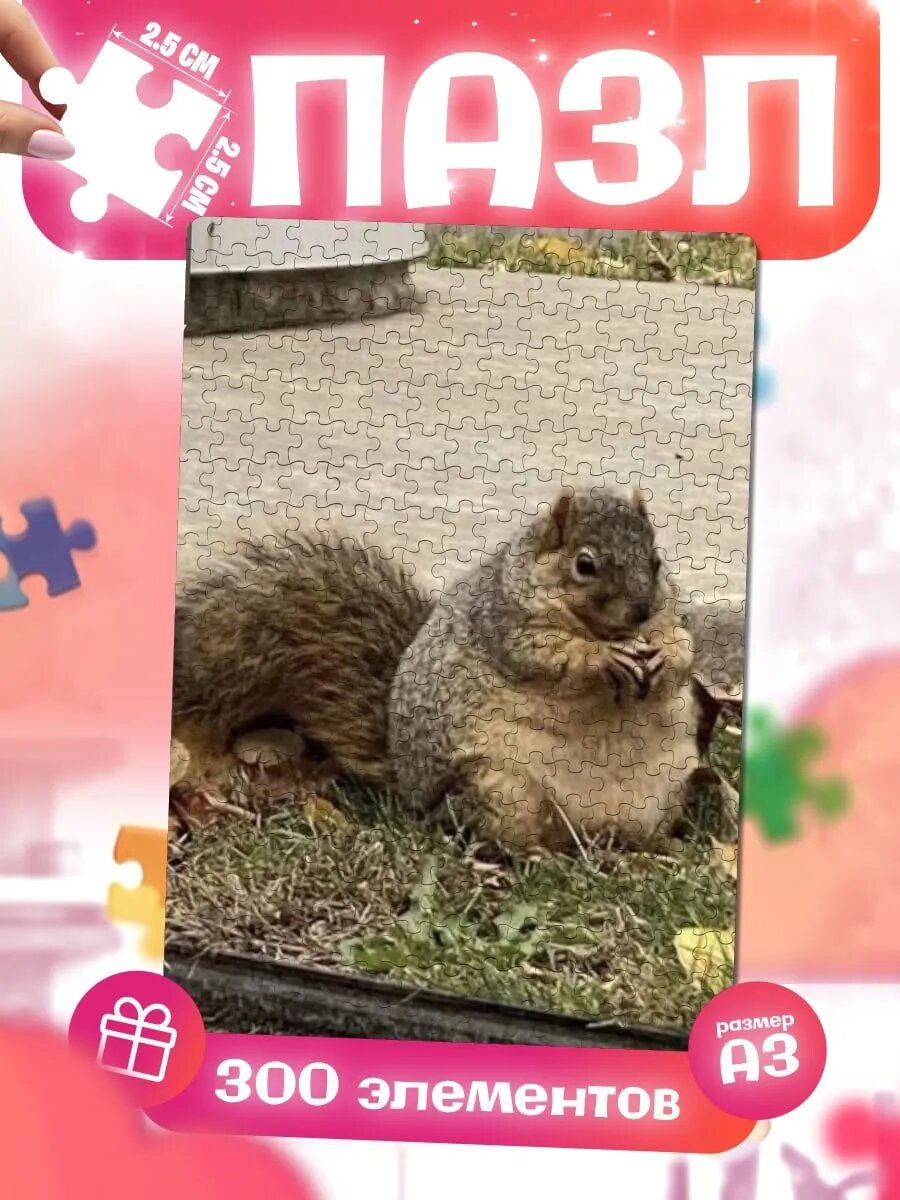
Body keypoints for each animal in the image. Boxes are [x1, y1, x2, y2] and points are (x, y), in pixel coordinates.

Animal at [172, 486, 712, 851]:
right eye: (585, 564)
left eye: (657, 560)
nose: (640, 609)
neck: (603, 628)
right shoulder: (506, 626)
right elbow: (550, 655)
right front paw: (600, 658)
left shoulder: (668, 616)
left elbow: (683, 647)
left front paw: (664, 654)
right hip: (500, 789)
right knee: (496, 838)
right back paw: (535, 855)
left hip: (664, 792)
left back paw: (659, 852)